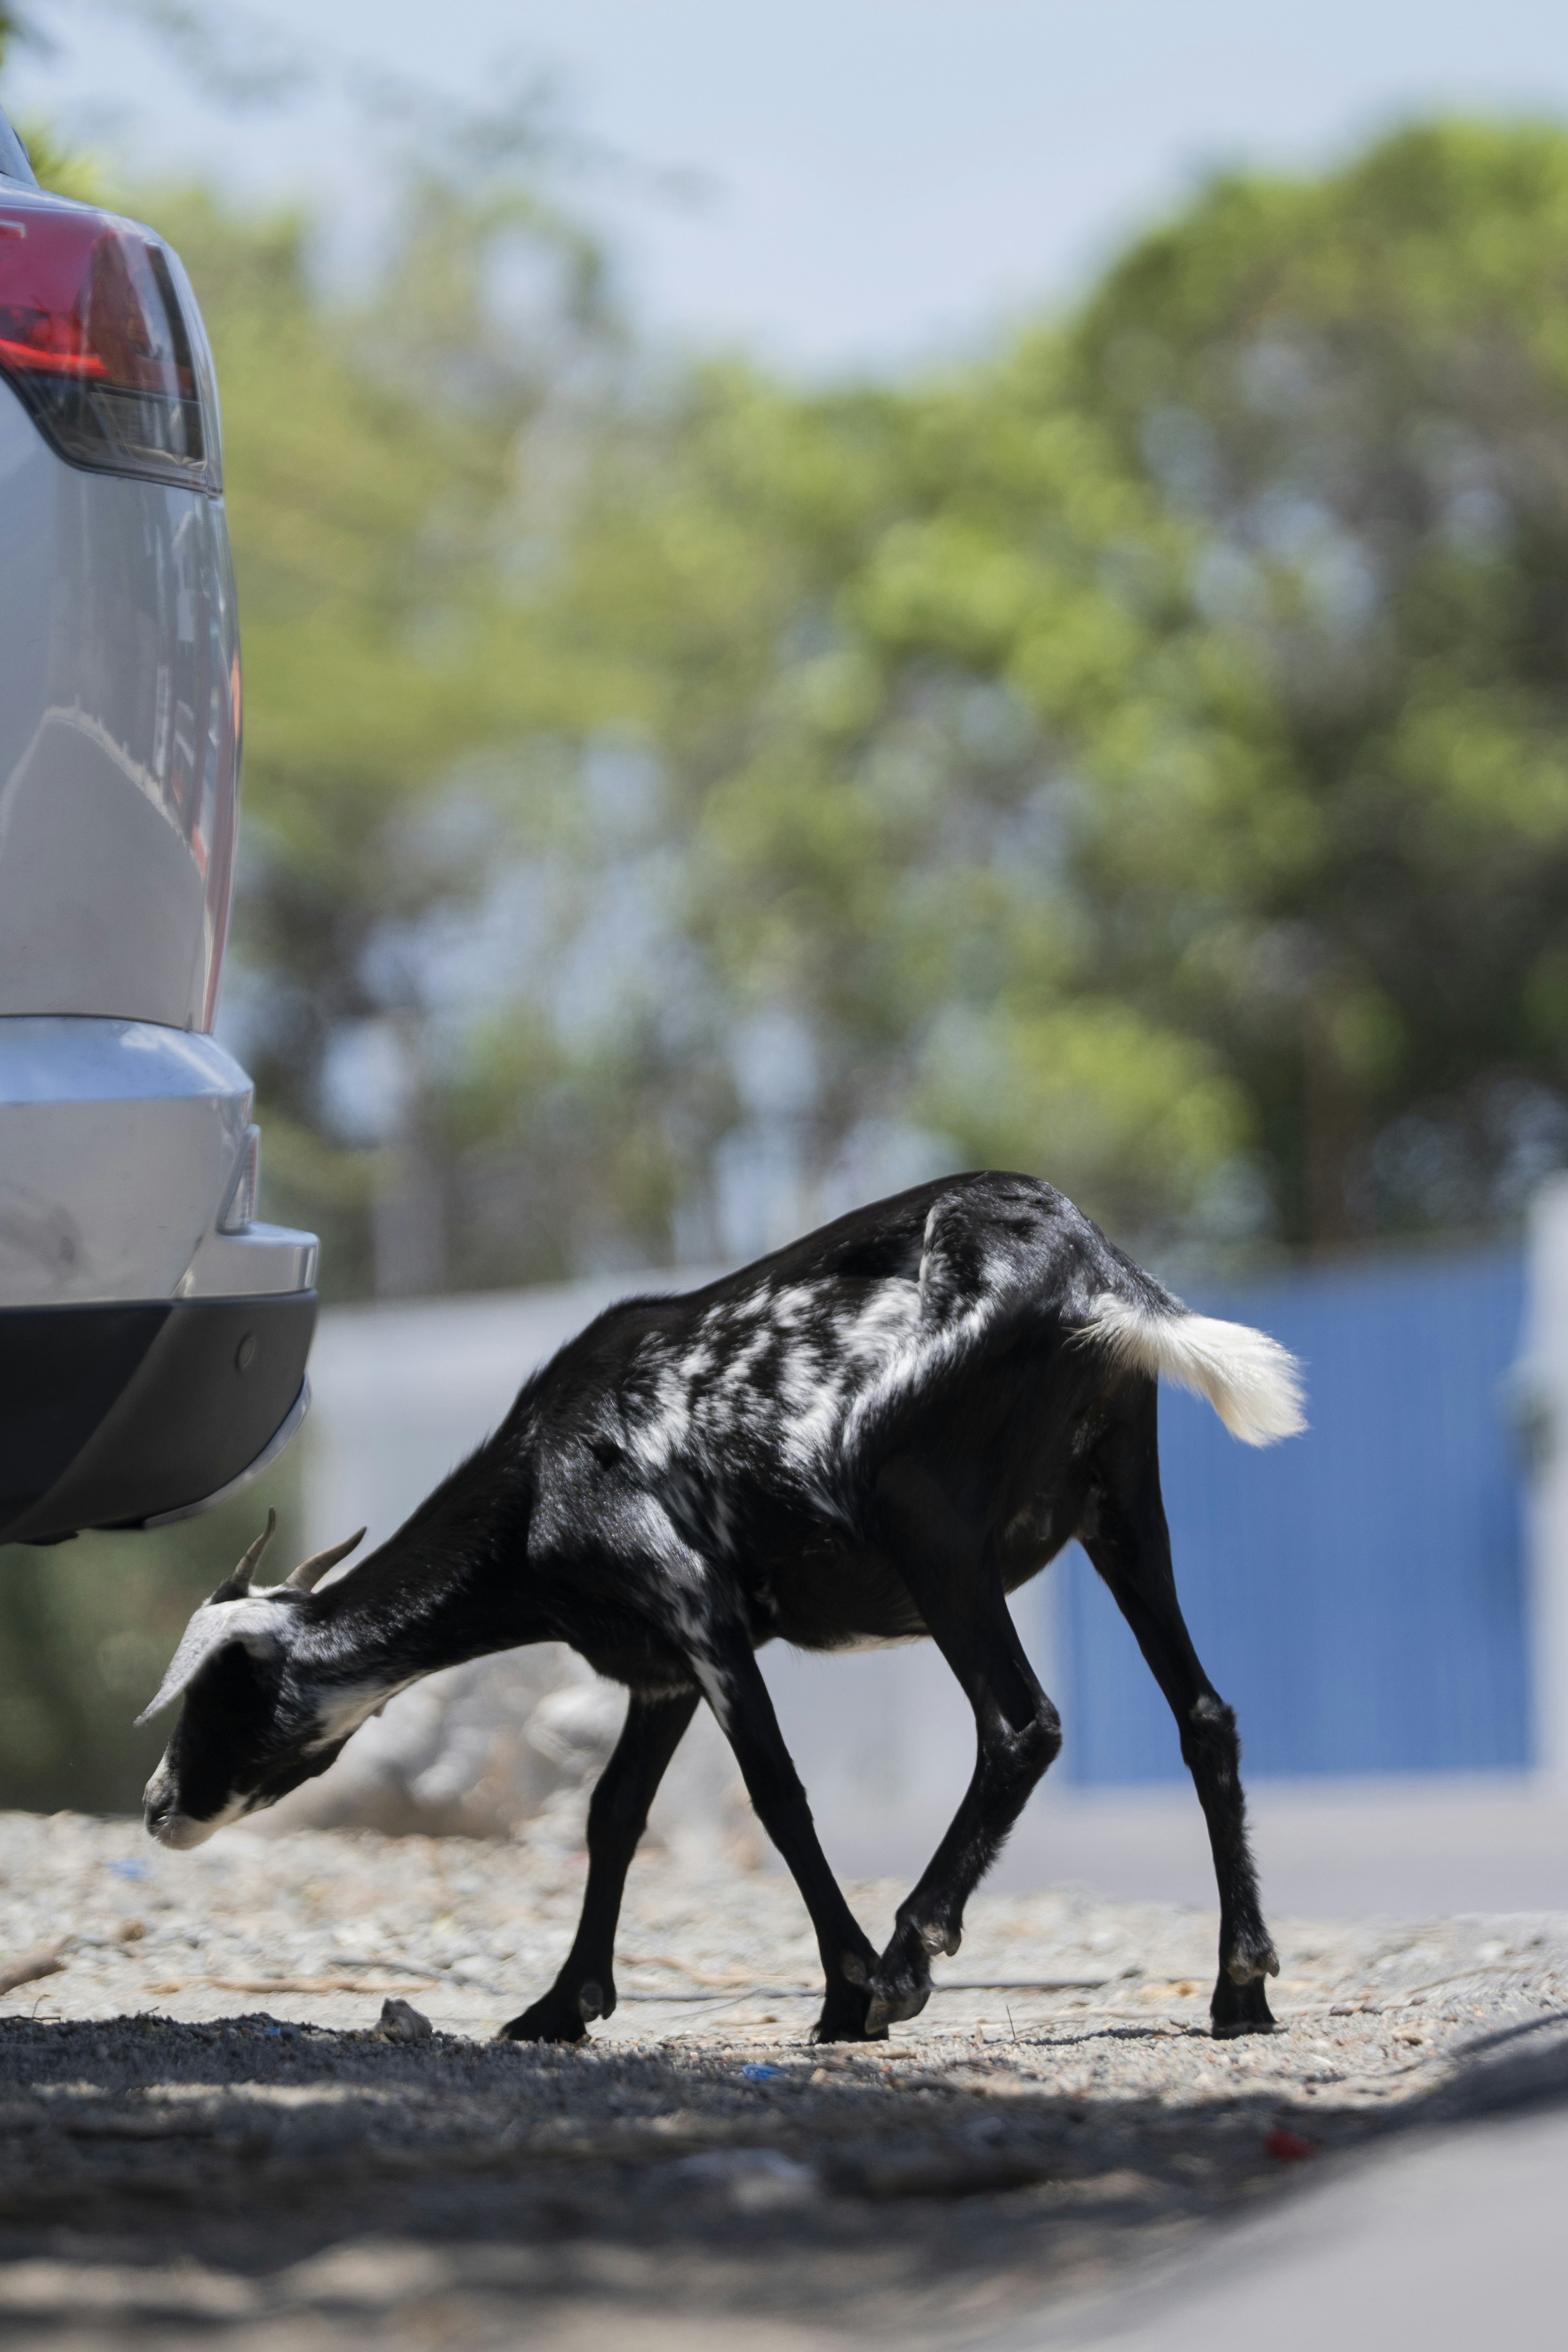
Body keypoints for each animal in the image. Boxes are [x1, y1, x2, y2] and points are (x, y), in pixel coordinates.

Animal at [139, 1171, 1304, 2043]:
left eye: (217, 1691)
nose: (157, 1806)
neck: (538, 1480)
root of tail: (1090, 1275)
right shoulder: (661, 1663)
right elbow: (614, 1811)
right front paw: (559, 2006)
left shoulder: (697, 1604)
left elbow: (777, 1794)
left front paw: (847, 1993)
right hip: (1118, 1492)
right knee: (1204, 1715)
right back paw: (1240, 1988)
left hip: (928, 1519)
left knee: (1021, 1724)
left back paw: (907, 1955)